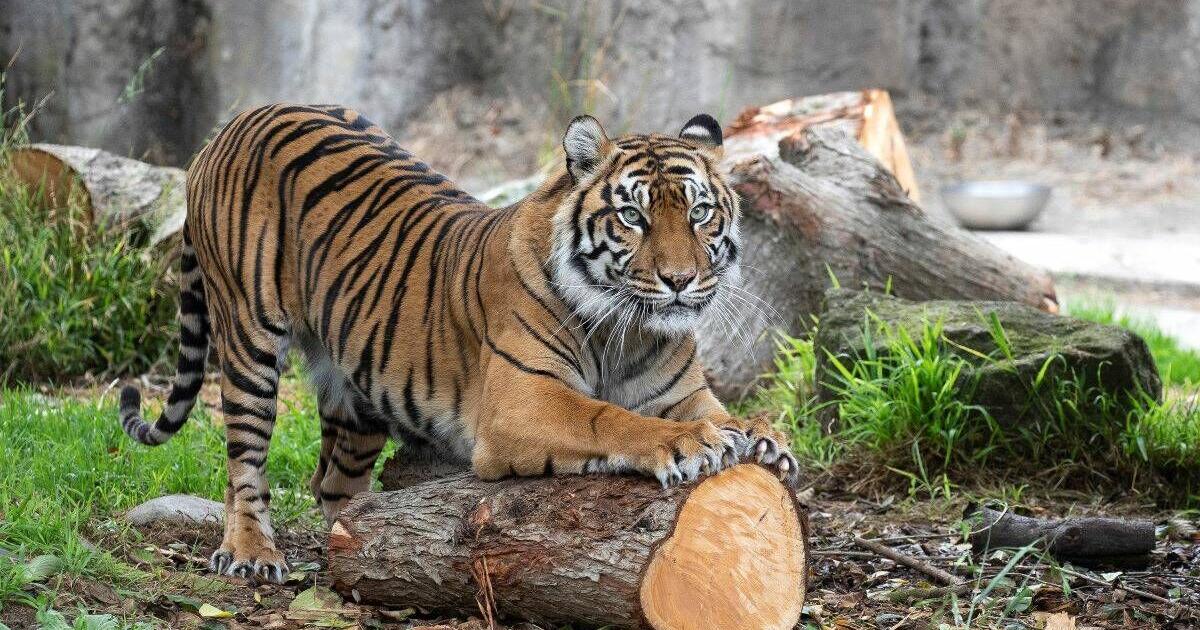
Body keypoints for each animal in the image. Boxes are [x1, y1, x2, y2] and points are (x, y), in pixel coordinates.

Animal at [117, 104, 798, 583]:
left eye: (700, 213)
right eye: (633, 216)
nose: (680, 281)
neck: (624, 334)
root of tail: (234, 121)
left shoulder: (682, 392)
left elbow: (720, 413)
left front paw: (762, 436)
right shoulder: (521, 402)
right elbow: (607, 417)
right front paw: (689, 444)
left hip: (356, 386)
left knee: (332, 485)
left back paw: (357, 547)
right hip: (249, 336)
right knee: (243, 460)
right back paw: (252, 552)